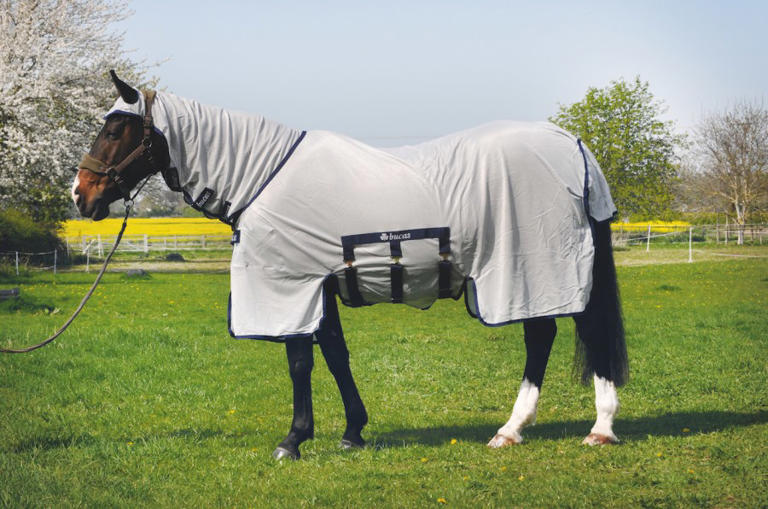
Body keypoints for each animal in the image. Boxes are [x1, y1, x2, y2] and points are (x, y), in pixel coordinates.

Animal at [72, 71, 628, 460]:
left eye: (116, 129)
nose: (81, 195)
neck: (263, 178)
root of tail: (574, 147)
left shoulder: (292, 286)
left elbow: (300, 362)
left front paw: (293, 440)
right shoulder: (321, 286)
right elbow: (336, 356)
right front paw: (353, 432)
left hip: (540, 267)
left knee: (569, 332)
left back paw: (591, 429)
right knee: (547, 335)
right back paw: (519, 430)